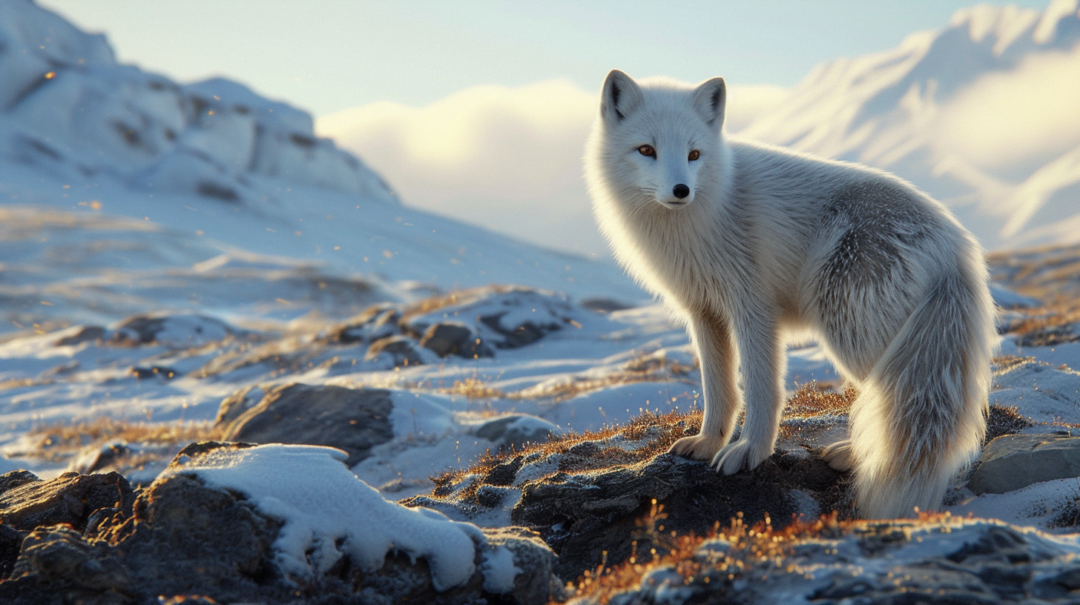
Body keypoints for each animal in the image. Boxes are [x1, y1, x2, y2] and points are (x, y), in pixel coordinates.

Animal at [583, 70, 996, 519]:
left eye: (694, 154)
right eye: (647, 150)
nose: (680, 190)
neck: (707, 212)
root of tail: (957, 245)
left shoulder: (753, 308)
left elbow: (762, 387)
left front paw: (751, 450)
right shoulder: (705, 311)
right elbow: (719, 390)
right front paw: (709, 443)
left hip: (852, 331)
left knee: (891, 404)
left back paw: (855, 454)